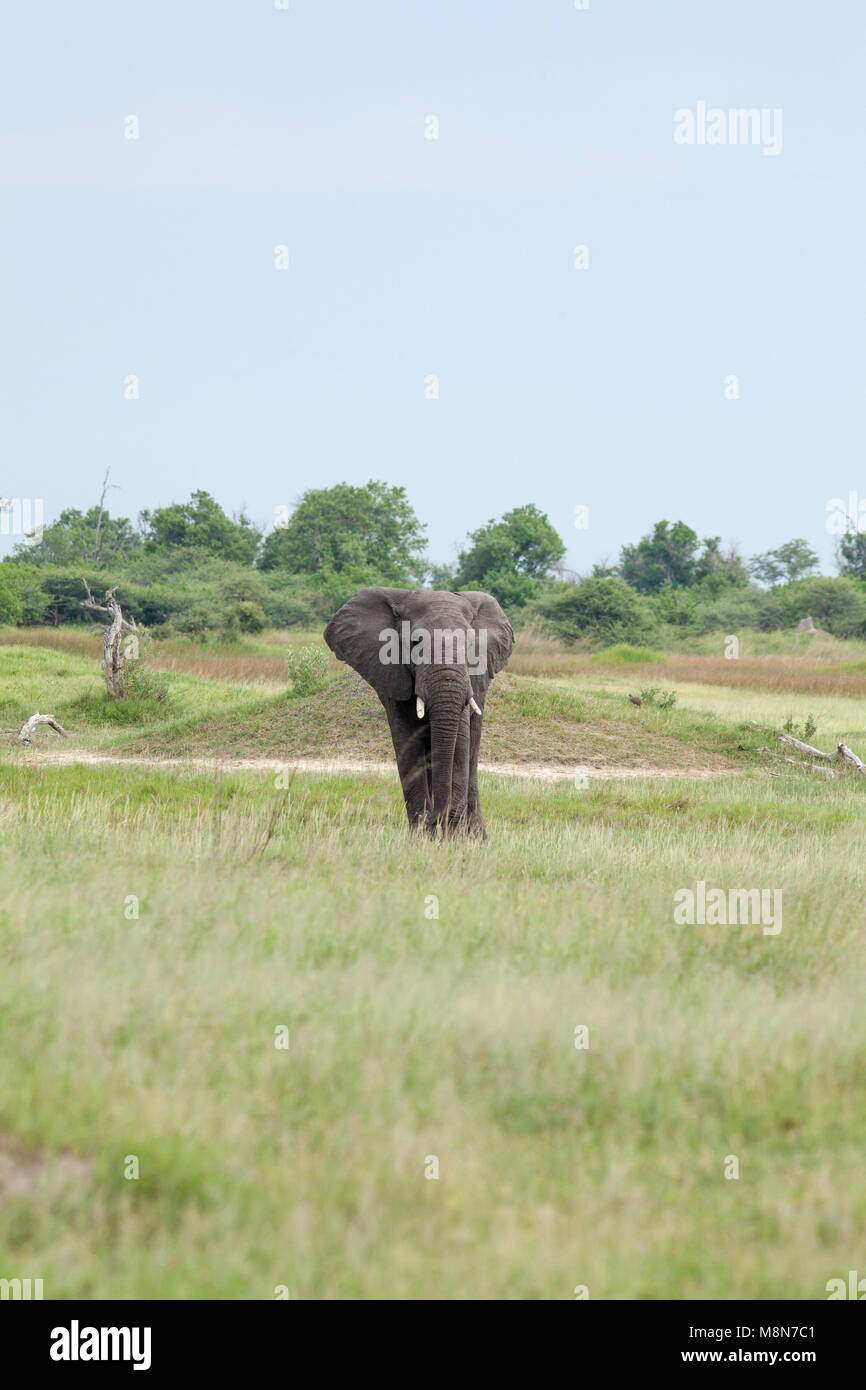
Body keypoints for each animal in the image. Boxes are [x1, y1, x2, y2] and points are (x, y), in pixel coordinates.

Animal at [324, 587, 513, 837]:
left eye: (471, 645)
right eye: (415, 643)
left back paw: (475, 837)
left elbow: (461, 742)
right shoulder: (393, 677)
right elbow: (407, 740)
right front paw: (424, 836)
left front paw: (451, 837)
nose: (434, 818)